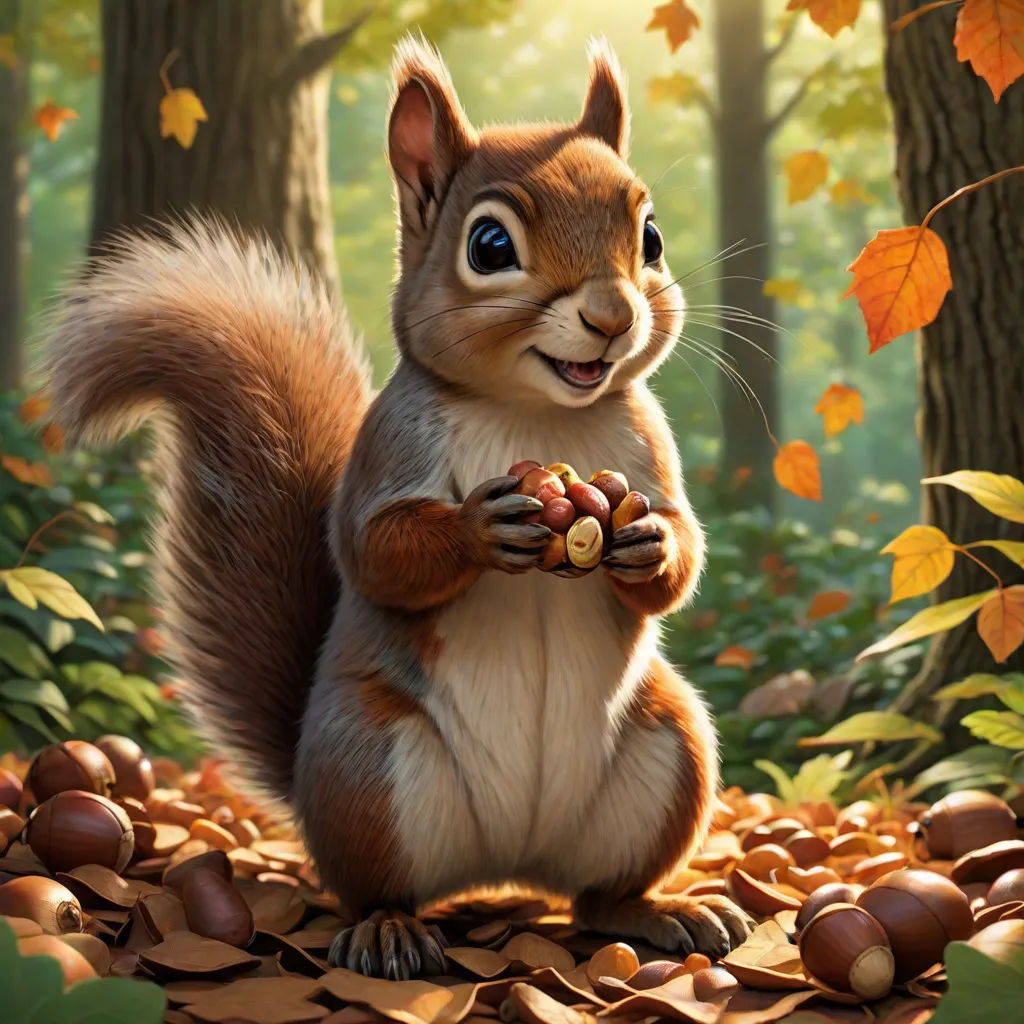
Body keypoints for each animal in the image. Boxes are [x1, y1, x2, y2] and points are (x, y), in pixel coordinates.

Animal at [46, 37, 753, 979]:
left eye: (651, 237)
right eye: (489, 245)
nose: (611, 315)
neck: (535, 411)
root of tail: (506, 866)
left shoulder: (648, 443)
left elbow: (683, 543)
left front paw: (644, 540)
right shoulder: (389, 446)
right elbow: (377, 550)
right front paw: (481, 528)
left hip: (669, 749)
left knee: (598, 894)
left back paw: (658, 911)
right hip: (369, 767)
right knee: (377, 884)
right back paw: (388, 931)